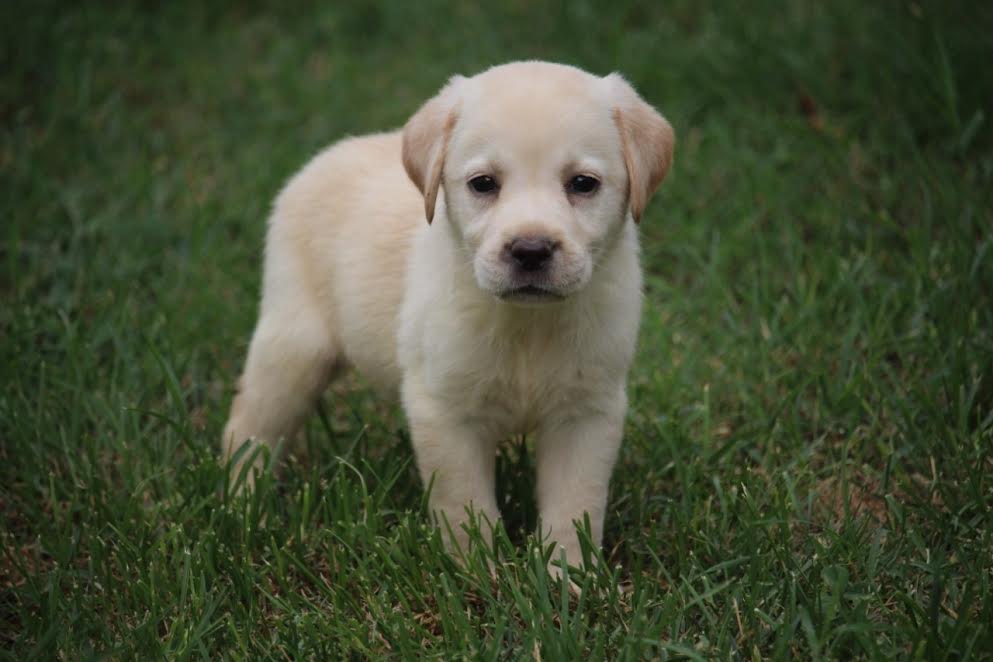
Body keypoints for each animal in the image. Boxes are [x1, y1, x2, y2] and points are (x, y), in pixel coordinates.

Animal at [223, 61, 676, 572]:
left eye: (583, 184)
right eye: (483, 183)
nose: (531, 250)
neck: (526, 324)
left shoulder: (588, 412)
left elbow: (574, 506)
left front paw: (568, 576)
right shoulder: (445, 413)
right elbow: (466, 509)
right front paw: (480, 573)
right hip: (293, 349)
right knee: (248, 428)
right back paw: (246, 509)